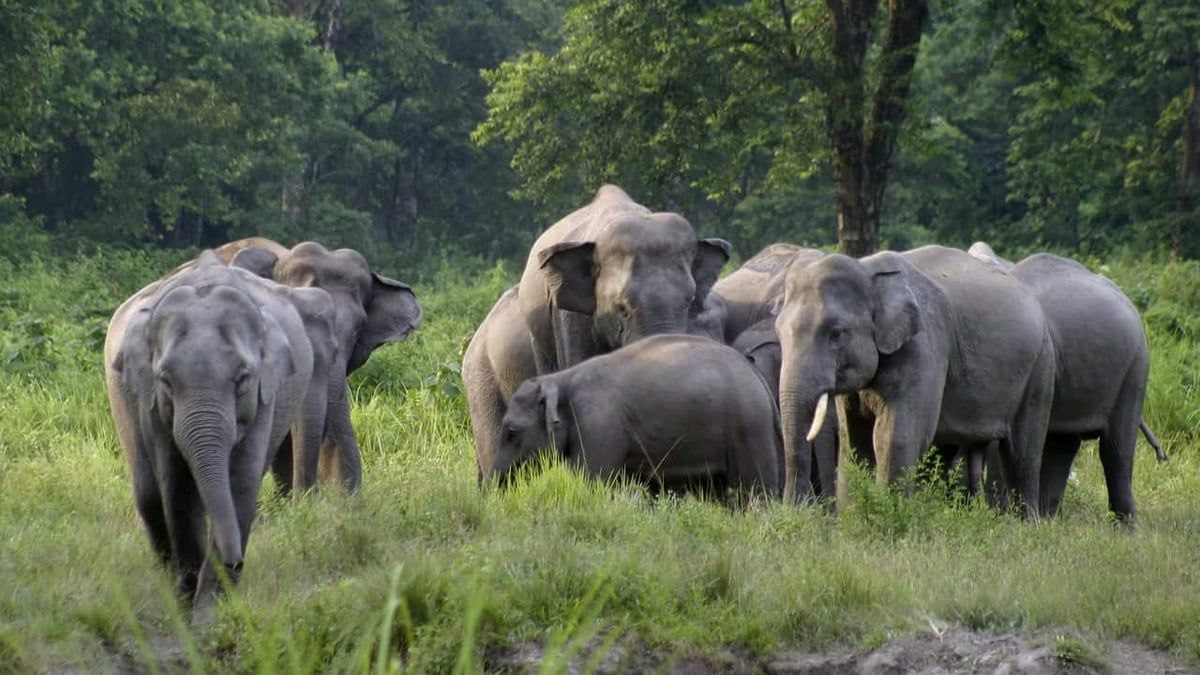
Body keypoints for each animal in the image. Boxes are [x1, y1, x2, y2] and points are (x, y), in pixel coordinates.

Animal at [104, 252, 336, 607]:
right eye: (165, 381)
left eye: (242, 377)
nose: (235, 562)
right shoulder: (151, 402)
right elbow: (176, 484)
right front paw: (188, 599)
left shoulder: (264, 395)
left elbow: (241, 480)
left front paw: (215, 602)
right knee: (147, 493)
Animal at [489, 334, 782, 498]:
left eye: (512, 433)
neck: (560, 378)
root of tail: (756, 376)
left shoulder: (598, 422)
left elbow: (592, 480)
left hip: (749, 426)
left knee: (756, 492)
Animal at [775, 245, 1057, 517]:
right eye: (778, 331)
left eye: (836, 333)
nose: (796, 512)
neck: (867, 269)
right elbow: (854, 440)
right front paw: (854, 519)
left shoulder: (923, 346)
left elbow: (894, 437)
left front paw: (887, 515)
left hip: (1040, 367)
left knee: (1023, 451)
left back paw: (1026, 523)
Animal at [960, 242, 1163, 521]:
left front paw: (999, 516)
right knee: (1063, 444)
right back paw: (1048, 520)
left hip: (1135, 367)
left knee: (1116, 449)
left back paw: (1126, 526)